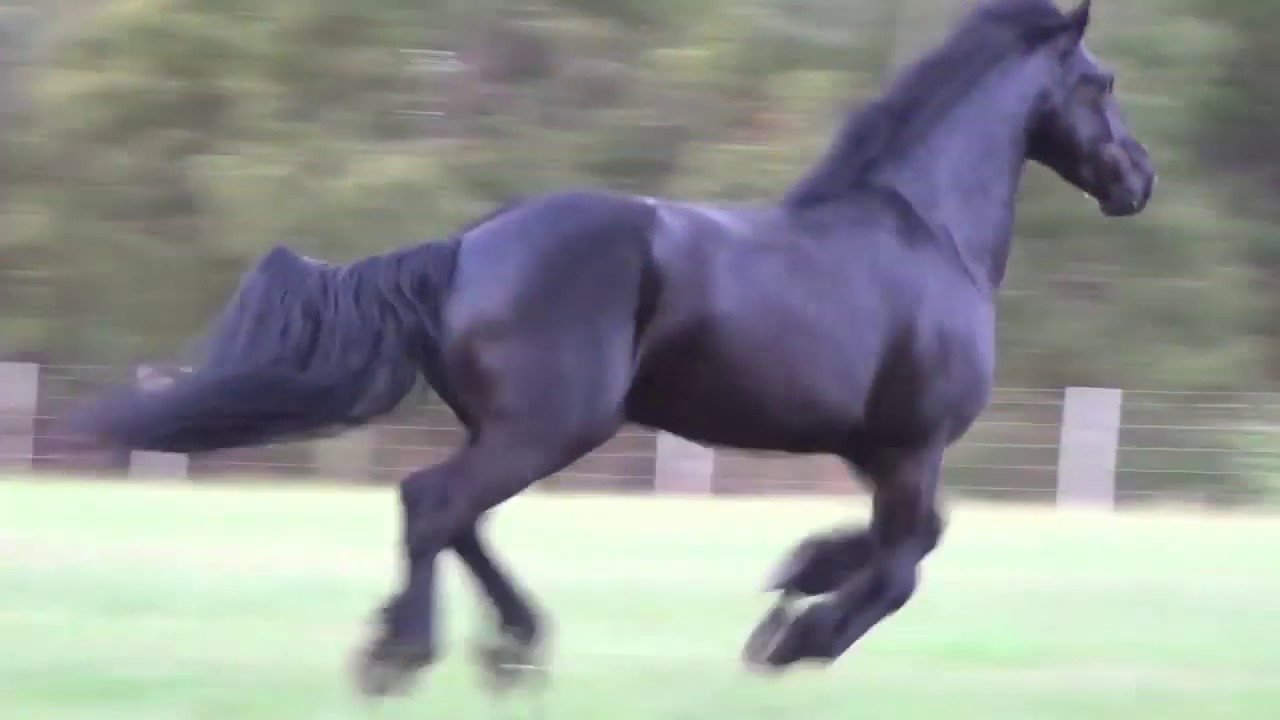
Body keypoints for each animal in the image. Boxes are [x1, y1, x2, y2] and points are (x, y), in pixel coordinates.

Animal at [73, 0, 1154, 698]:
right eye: (1099, 80)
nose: (1135, 180)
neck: (925, 231)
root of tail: (464, 247)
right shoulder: (909, 443)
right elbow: (903, 563)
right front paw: (793, 636)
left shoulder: (872, 448)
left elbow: (908, 542)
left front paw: (797, 574)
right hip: (553, 426)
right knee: (434, 505)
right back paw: (408, 656)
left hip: (522, 427)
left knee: (458, 518)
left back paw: (507, 648)